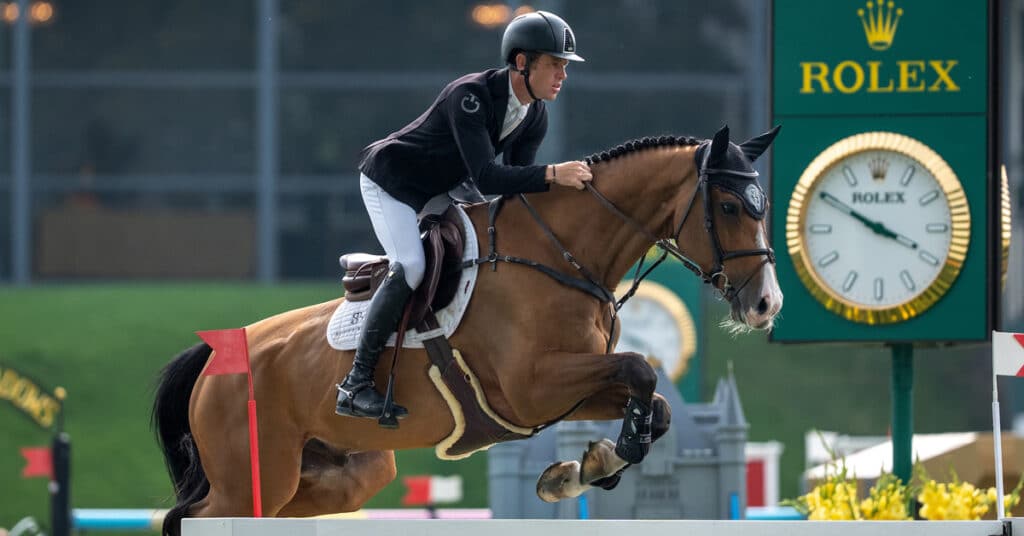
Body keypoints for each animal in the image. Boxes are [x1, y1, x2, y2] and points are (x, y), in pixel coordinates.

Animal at [152, 124, 783, 535]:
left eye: (765, 205)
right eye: (730, 206)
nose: (766, 305)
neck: (563, 257)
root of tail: (215, 359)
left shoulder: (563, 393)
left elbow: (656, 400)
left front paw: (584, 469)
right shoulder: (534, 387)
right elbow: (640, 368)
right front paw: (601, 459)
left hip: (336, 474)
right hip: (249, 475)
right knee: (195, 517)